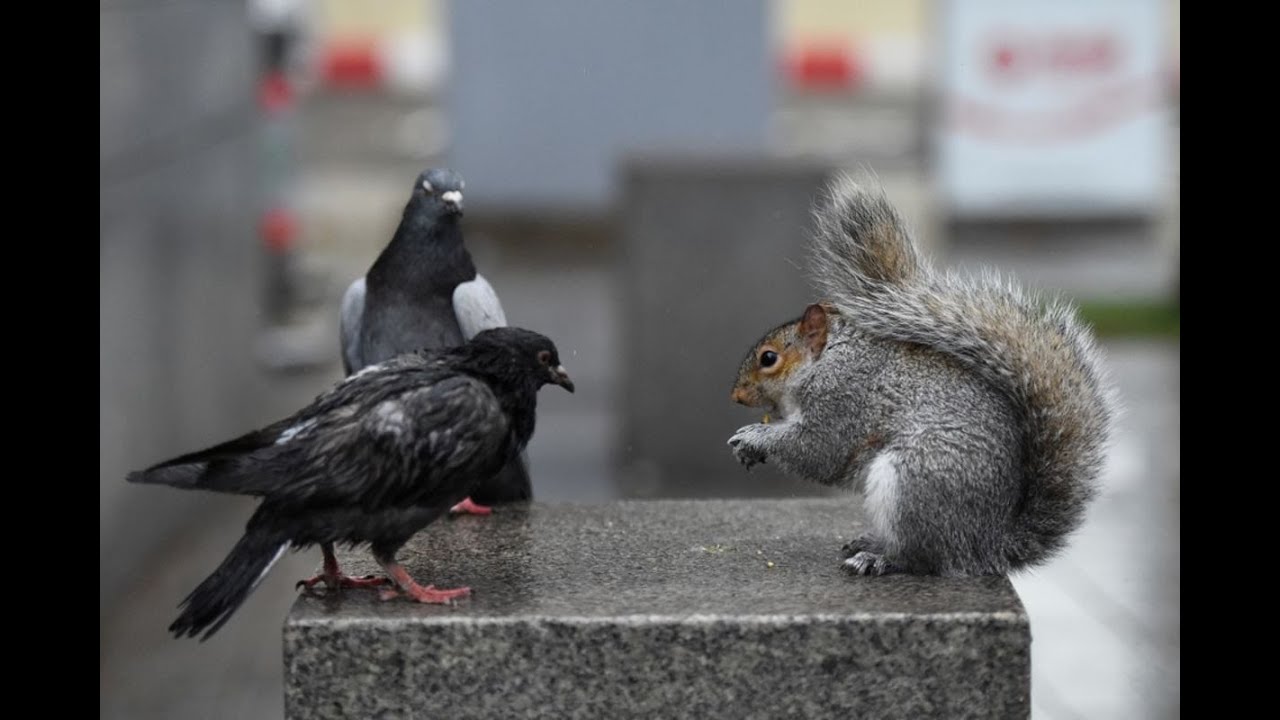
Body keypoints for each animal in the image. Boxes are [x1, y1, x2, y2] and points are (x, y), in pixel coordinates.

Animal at [727, 175, 1116, 577]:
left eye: (769, 358)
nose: (736, 396)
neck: (824, 363)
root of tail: (986, 546)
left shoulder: (842, 400)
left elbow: (818, 450)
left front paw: (753, 436)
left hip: (913, 481)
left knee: (921, 558)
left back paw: (879, 558)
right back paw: (870, 542)